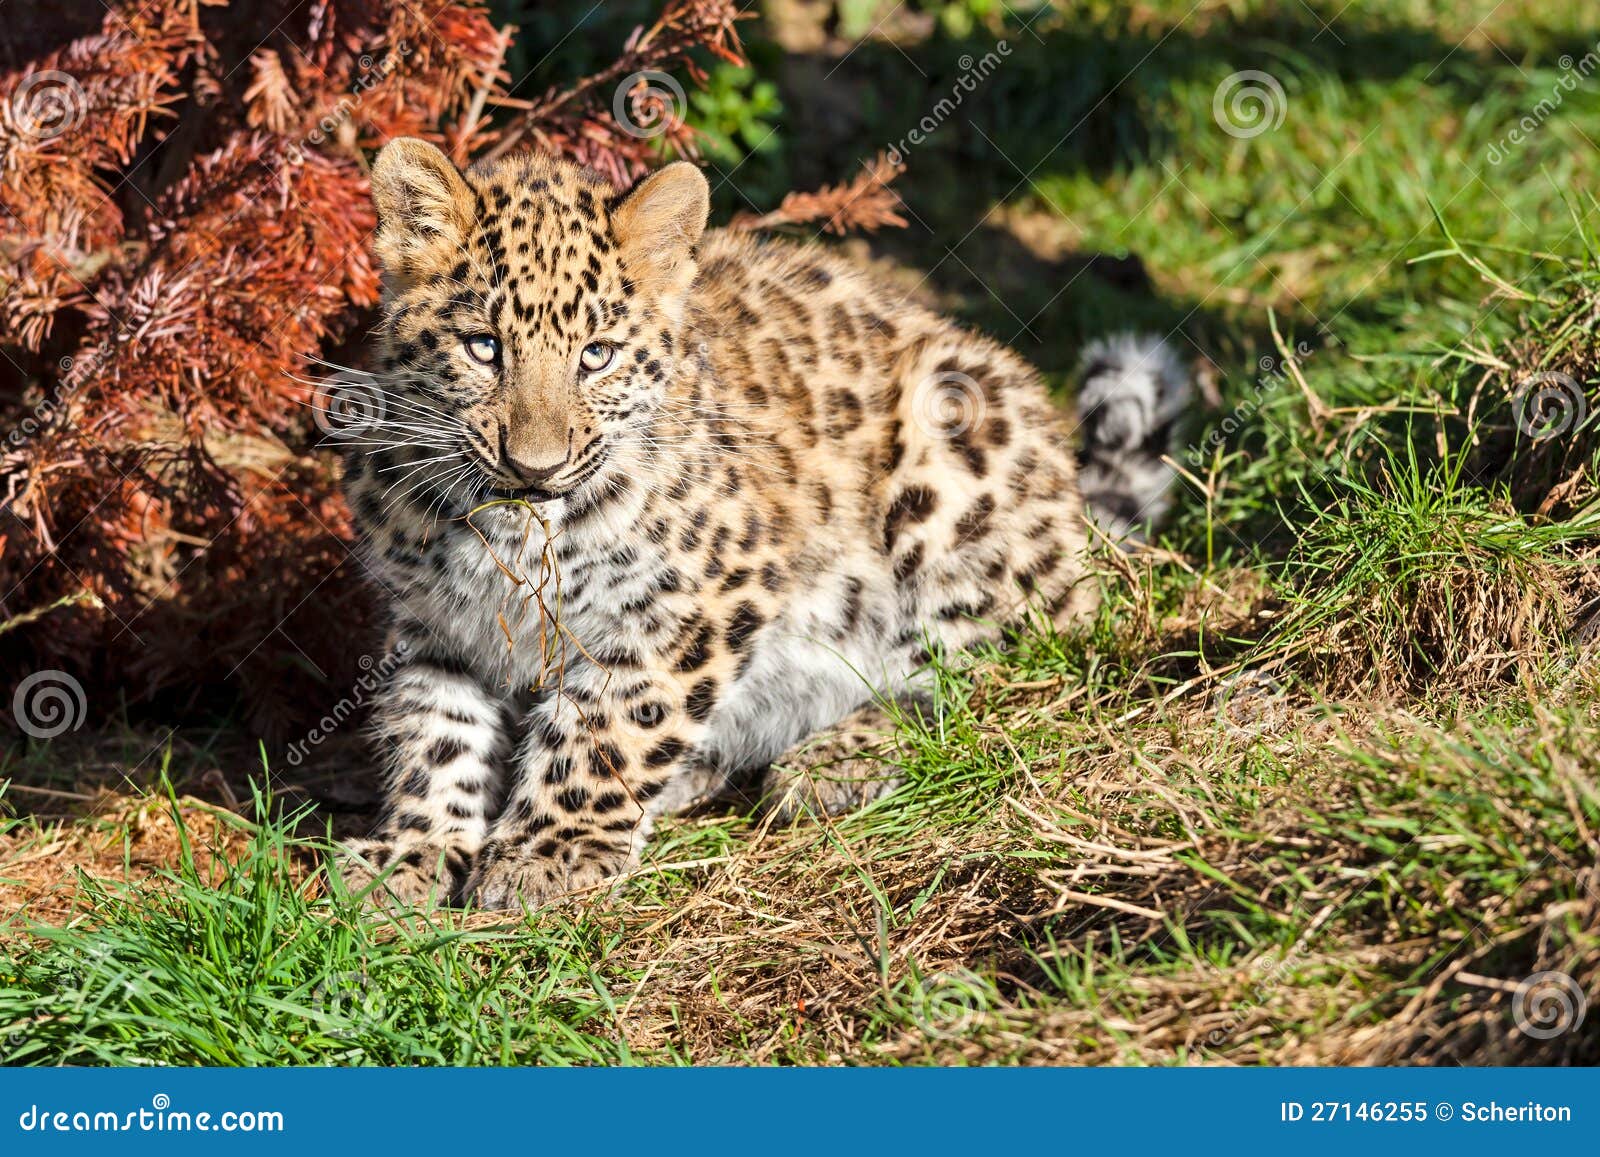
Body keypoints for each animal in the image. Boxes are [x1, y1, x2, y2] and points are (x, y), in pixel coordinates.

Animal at [334, 137, 1191, 910]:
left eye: (597, 355)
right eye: (484, 348)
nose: (534, 467)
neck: (513, 533)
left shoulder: (692, 601)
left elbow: (611, 727)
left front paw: (551, 851)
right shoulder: (437, 625)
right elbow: (437, 734)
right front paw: (412, 855)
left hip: (952, 463)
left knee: (1003, 668)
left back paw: (831, 763)